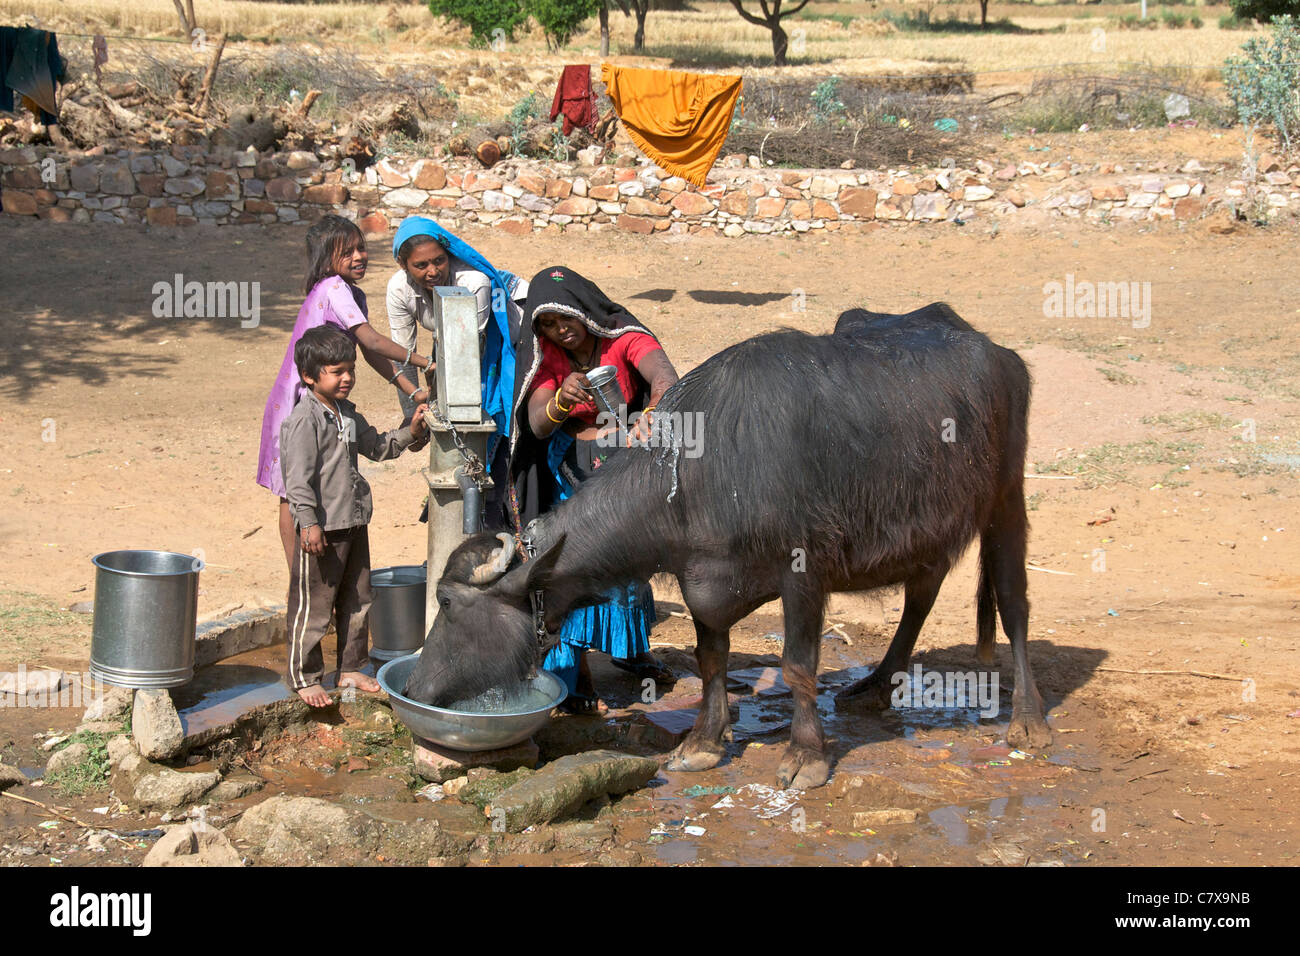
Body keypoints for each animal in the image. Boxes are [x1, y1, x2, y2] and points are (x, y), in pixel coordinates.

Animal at [405, 304, 1050, 789]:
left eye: (452, 607)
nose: (413, 688)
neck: (700, 470)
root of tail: (998, 352)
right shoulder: (702, 579)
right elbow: (711, 657)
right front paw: (703, 742)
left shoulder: (804, 572)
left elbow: (797, 664)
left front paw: (805, 757)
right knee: (921, 593)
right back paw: (875, 685)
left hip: (1006, 497)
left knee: (1014, 602)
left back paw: (1029, 720)